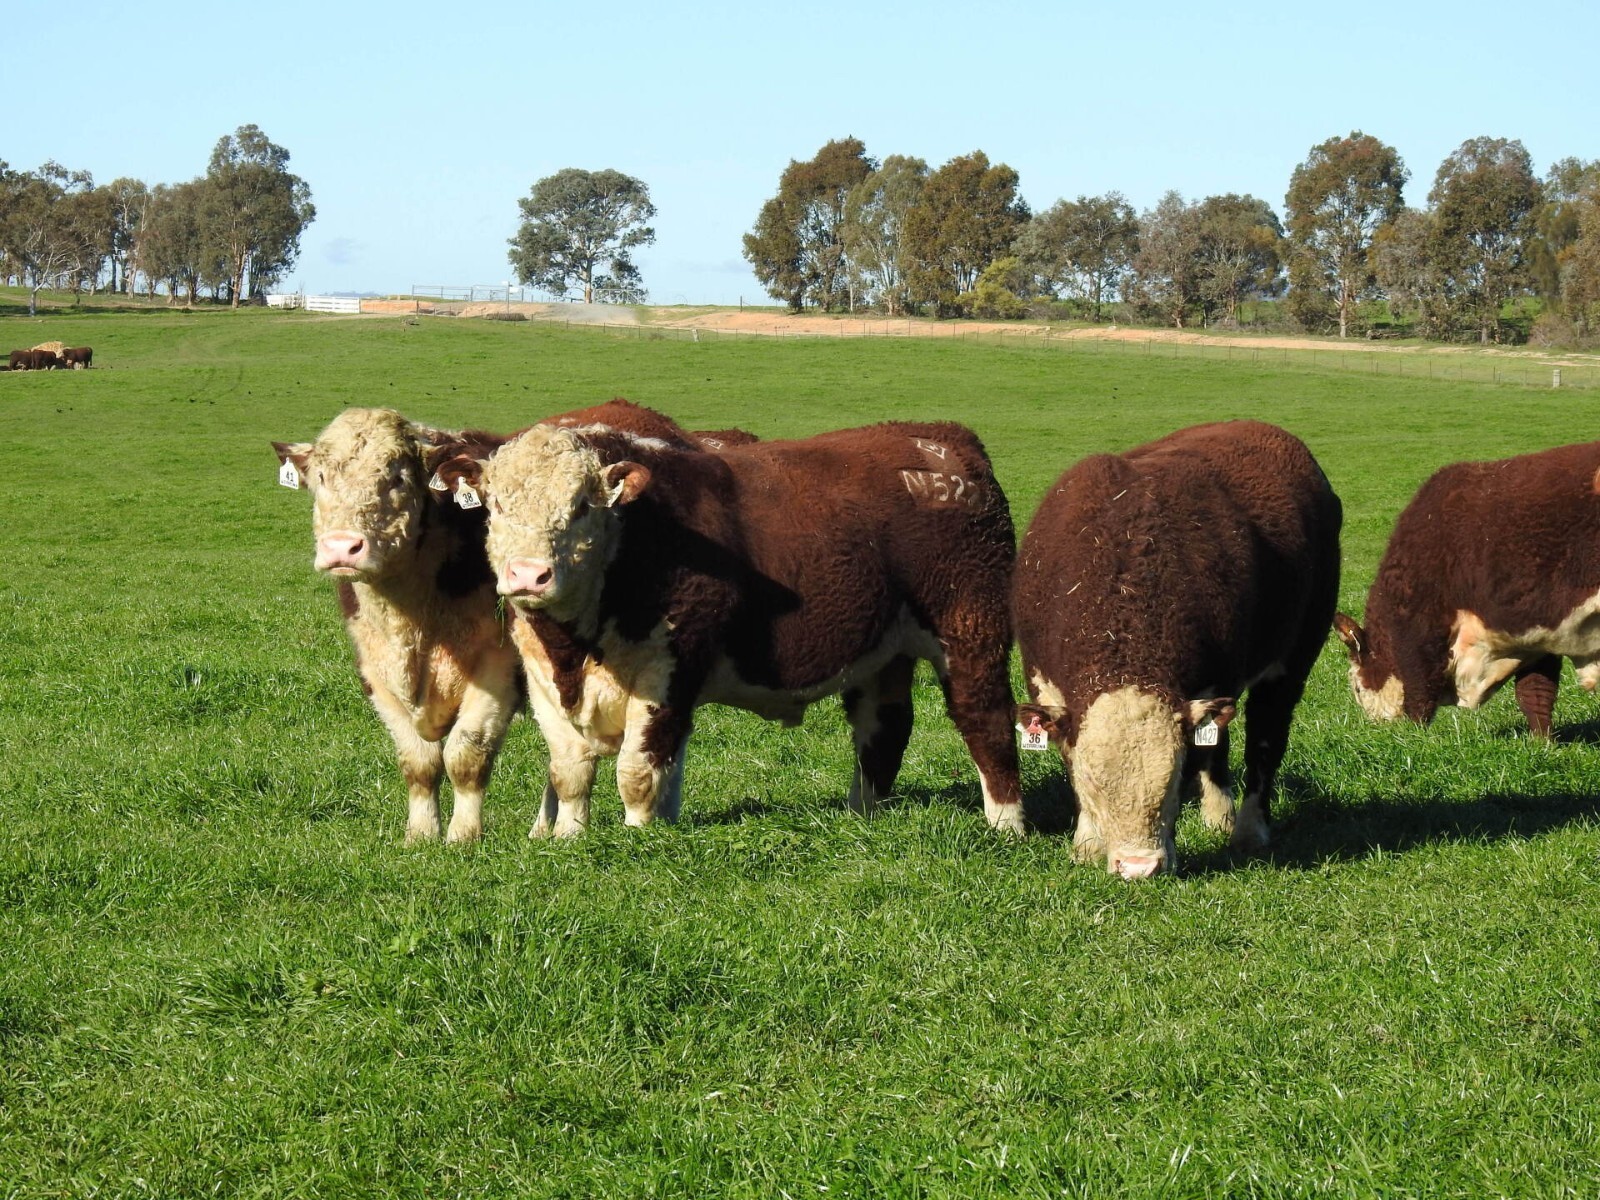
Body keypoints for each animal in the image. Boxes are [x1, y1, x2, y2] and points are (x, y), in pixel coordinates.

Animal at [425, 420, 1026, 839]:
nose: (528, 574)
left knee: (987, 720)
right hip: (885, 651)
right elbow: (570, 771)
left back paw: (1006, 825)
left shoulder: (670, 668)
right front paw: (570, 839)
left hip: (971, 628)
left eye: (581, 507)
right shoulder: (543, 677)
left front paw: (635, 841)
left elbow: (638, 771)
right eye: (495, 505)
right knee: (883, 730)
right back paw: (861, 816)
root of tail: (943, 442)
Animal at [1014, 421, 1342, 879]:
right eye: (1093, 782)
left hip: (1293, 660)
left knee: (1264, 740)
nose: (1138, 867)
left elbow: (1211, 750)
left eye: (1173, 779)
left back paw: (1246, 828)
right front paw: (1088, 842)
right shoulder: (1044, 683)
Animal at [1333, 439, 1600, 736]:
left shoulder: (1419, 630)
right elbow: (1535, 693)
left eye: (1357, 689)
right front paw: (1541, 741)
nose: (1376, 729)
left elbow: (1418, 695)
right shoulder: (1538, 638)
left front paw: (1413, 737)